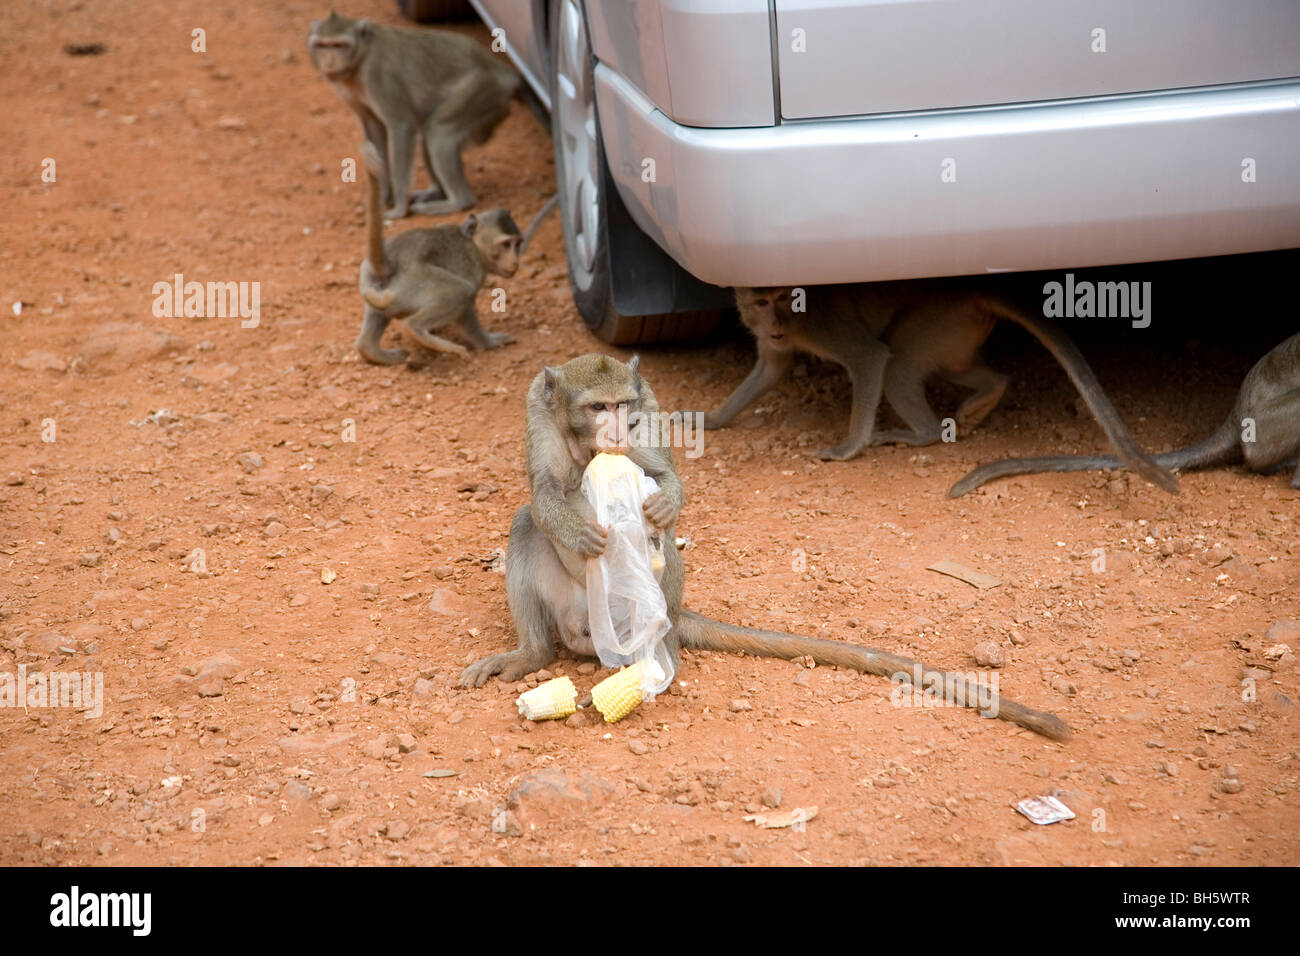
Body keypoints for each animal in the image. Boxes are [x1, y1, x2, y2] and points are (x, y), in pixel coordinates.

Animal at [308, 11, 521, 220]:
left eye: (339, 45)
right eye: (322, 45)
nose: (329, 62)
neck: (361, 59)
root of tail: (501, 69)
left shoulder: (377, 76)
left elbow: (401, 125)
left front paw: (399, 209)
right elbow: (374, 128)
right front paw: (382, 196)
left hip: (481, 91)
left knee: (439, 132)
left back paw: (456, 202)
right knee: (428, 136)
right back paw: (435, 193)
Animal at [355, 142, 518, 365]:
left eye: (517, 244)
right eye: (505, 245)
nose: (515, 261)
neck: (473, 244)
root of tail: (389, 263)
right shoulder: (475, 267)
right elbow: (467, 307)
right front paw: (487, 342)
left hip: (370, 283)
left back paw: (371, 351)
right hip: (415, 283)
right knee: (461, 291)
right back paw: (417, 331)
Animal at [459, 353, 1071, 741]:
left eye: (624, 405)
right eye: (597, 407)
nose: (619, 429)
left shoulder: (650, 407)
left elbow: (661, 476)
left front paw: (664, 501)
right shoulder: (537, 414)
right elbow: (542, 495)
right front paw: (578, 529)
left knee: (660, 552)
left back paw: (656, 660)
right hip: (574, 609)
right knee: (525, 524)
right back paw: (532, 655)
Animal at [704, 284, 1179, 495]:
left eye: (785, 298)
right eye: (761, 301)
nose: (777, 321)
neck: (798, 322)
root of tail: (970, 290)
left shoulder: (823, 325)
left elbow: (870, 358)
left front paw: (847, 449)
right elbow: (770, 370)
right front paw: (710, 420)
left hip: (939, 320)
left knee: (898, 366)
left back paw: (923, 434)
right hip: (957, 329)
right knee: (959, 366)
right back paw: (986, 396)